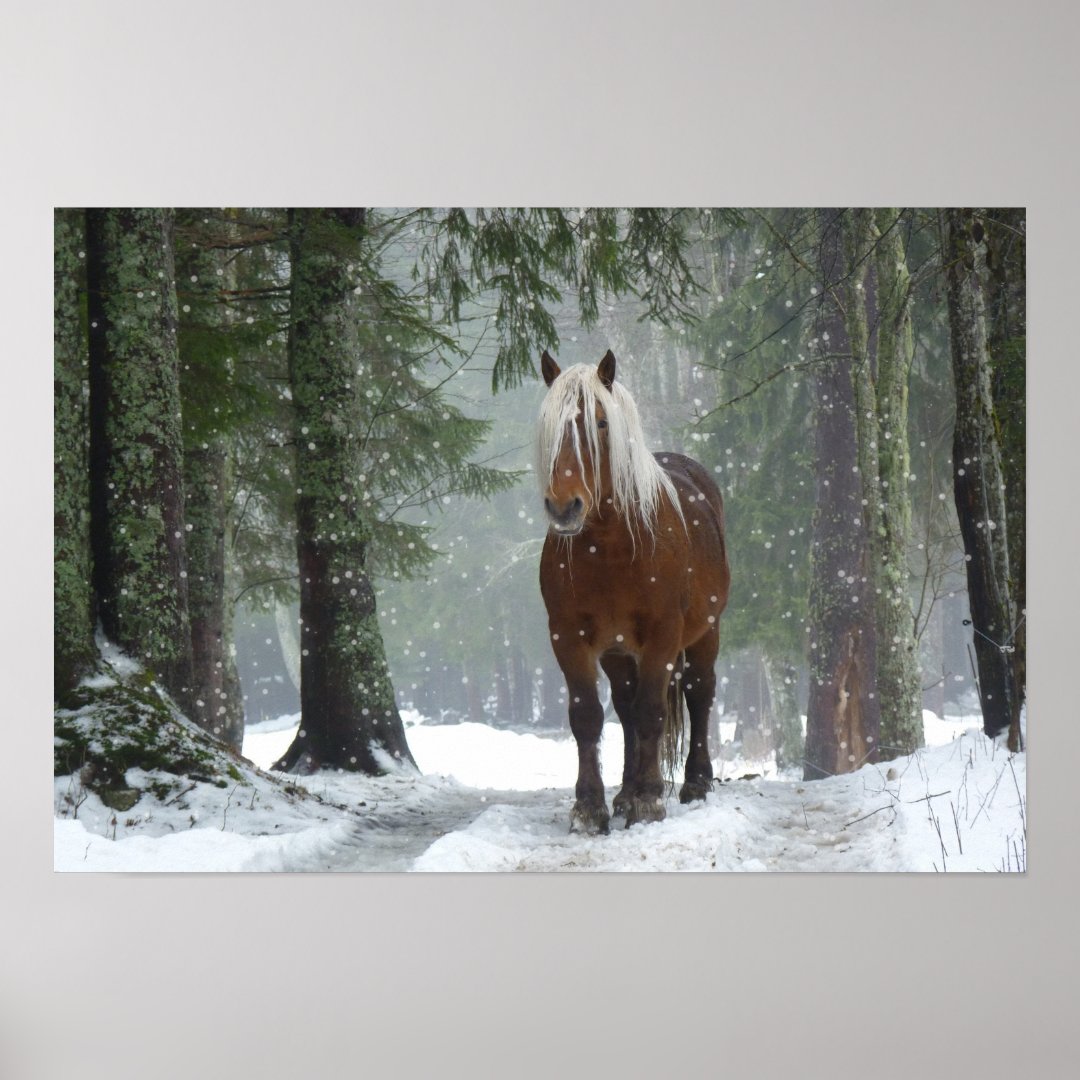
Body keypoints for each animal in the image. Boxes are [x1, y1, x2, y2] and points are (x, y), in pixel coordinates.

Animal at [537, 349, 731, 832]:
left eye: (601, 423)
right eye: (548, 425)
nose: (564, 506)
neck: (611, 547)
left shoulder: (663, 635)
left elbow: (651, 712)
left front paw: (648, 800)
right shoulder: (569, 637)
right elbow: (588, 716)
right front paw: (591, 807)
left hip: (705, 632)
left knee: (698, 694)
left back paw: (694, 783)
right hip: (618, 650)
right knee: (624, 709)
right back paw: (624, 792)